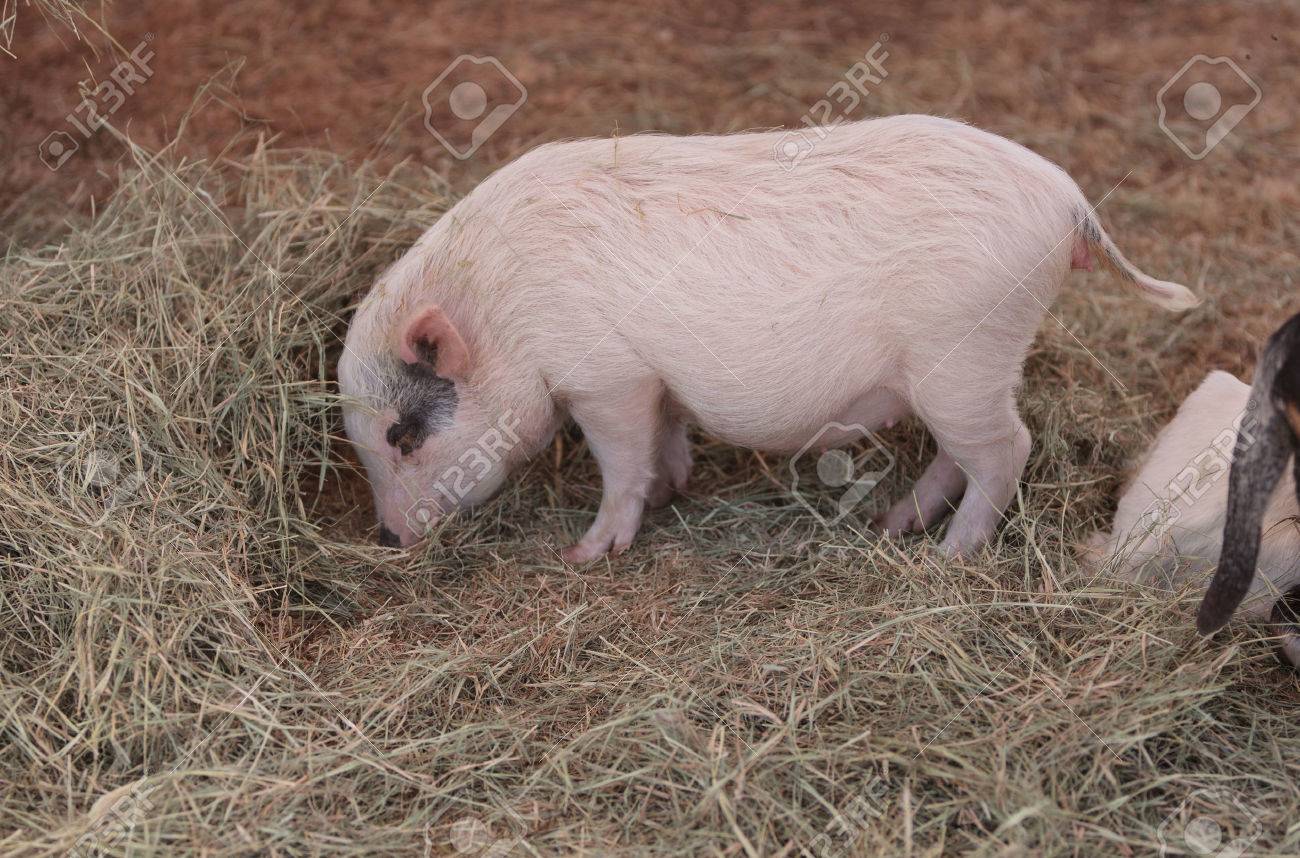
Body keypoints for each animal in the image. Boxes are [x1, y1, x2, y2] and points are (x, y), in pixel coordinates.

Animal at [338, 114, 1198, 562]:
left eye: (402, 435)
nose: (385, 537)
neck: (501, 309)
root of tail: (1068, 200)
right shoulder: (656, 380)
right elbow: (666, 434)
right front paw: (676, 486)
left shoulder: (608, 376)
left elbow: (621, 460)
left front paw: (589, 555)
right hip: (964, 369)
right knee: (969, 452)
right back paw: (895, 525)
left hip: (965, 354)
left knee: (1007, 449)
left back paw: (948, 555)